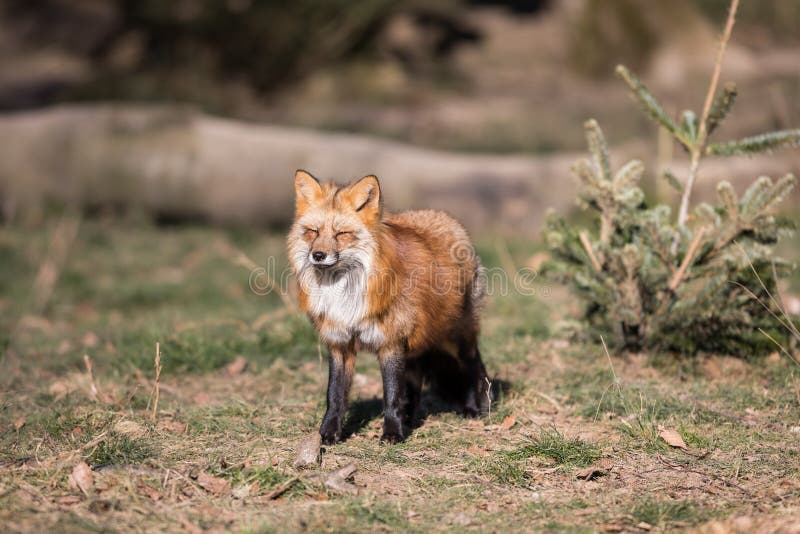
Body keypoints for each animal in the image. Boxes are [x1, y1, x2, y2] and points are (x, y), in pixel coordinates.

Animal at [288, 170, 490, 444]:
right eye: (312, 232)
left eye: (342, 234)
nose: (318, 255)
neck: (346, 294)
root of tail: (448, 218)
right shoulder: (340, 344)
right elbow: (335, 396)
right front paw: (329, 434)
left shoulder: (391, 343)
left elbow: (392, 395)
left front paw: (392, 433)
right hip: (416, 344)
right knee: (414, 384)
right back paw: (410, 419)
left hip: (456, 336)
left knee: (472, 367)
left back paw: (472, 408)